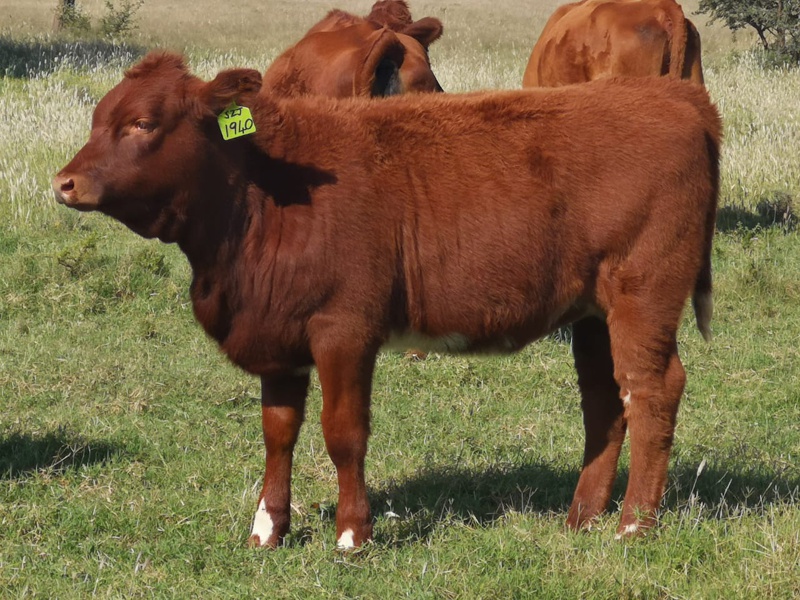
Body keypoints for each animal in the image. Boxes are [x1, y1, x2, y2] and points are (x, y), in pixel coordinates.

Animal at [53, 52, 720, 548]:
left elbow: (343, 431)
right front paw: (268, 530)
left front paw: (352, 535)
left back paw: (634, 525)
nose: (64, 183)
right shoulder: (278, 335)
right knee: (606, 399)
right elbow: (278, 432)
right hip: (591, 312)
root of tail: (674, 96)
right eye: (97, 118)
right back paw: (582, 517)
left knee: (652, 389)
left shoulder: (344, 327)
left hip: (643, 292)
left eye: (143, 123)